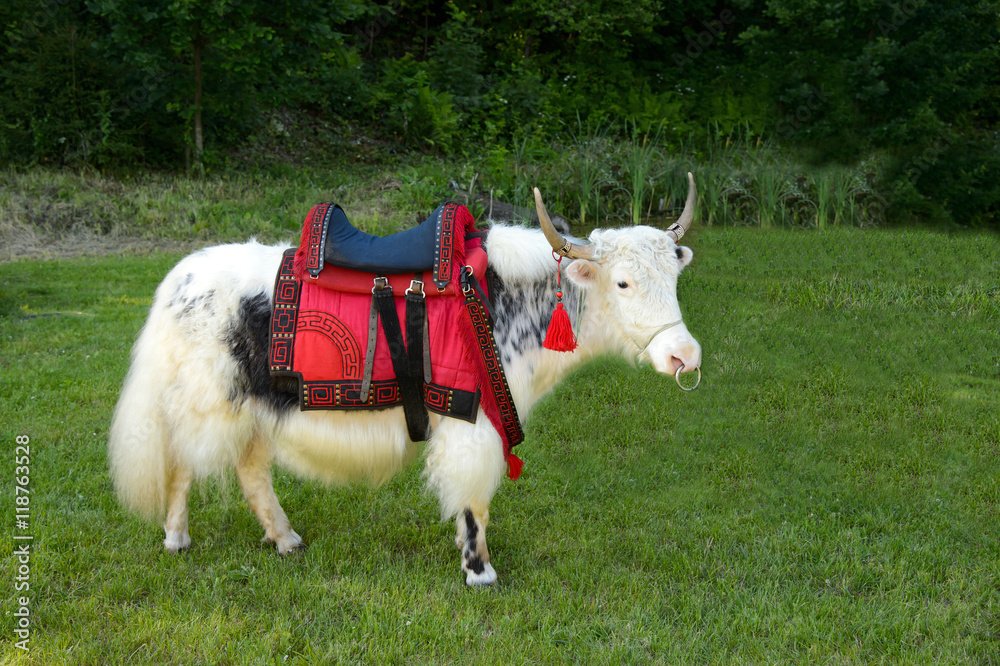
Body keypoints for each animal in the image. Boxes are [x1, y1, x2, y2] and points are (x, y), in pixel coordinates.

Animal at [108, 176, 702, 586]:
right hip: (212, 400)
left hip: (258, 407)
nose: (685, 356)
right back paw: (177, 538)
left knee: (251, 472)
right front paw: (480, 571)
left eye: (674, 277)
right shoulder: (471, 419)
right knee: (184, 463)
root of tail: (176, 280)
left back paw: (287, 540)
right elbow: (475, 499)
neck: (503, 298)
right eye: (622, 282)